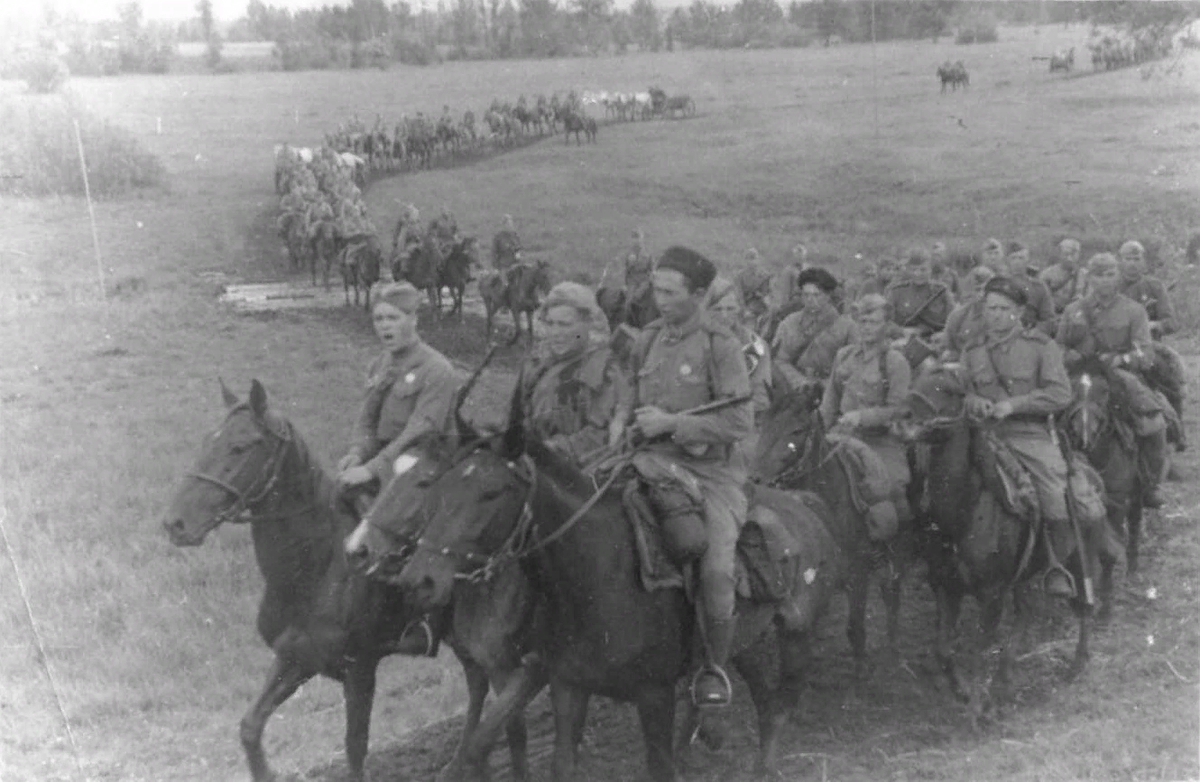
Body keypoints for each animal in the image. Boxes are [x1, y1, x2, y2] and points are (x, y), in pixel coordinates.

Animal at [162, 381, 417, 782]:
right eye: (207, 440)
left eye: (239, 447)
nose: (175, 523)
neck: (319, 568)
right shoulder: (295, 658)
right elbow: (250, 727)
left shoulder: (360, 668)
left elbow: (355, 746)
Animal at [393, 426, 844, 782]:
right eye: (438, 490)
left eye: (492, 492)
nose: (418, 580)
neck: (595, 577)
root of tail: (806, 506)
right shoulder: (565, 685)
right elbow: (538, 755)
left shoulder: (653, 695)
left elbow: (659, 767)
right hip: (740, 643)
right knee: (763, 699)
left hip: (797, 634)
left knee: (782, 703)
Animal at [753, 381, 902, 676]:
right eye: (764, 424)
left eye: (797, 430)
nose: (755, 478)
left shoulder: (858, 573)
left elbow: (855, 628)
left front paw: (861, 674)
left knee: (894, 593)